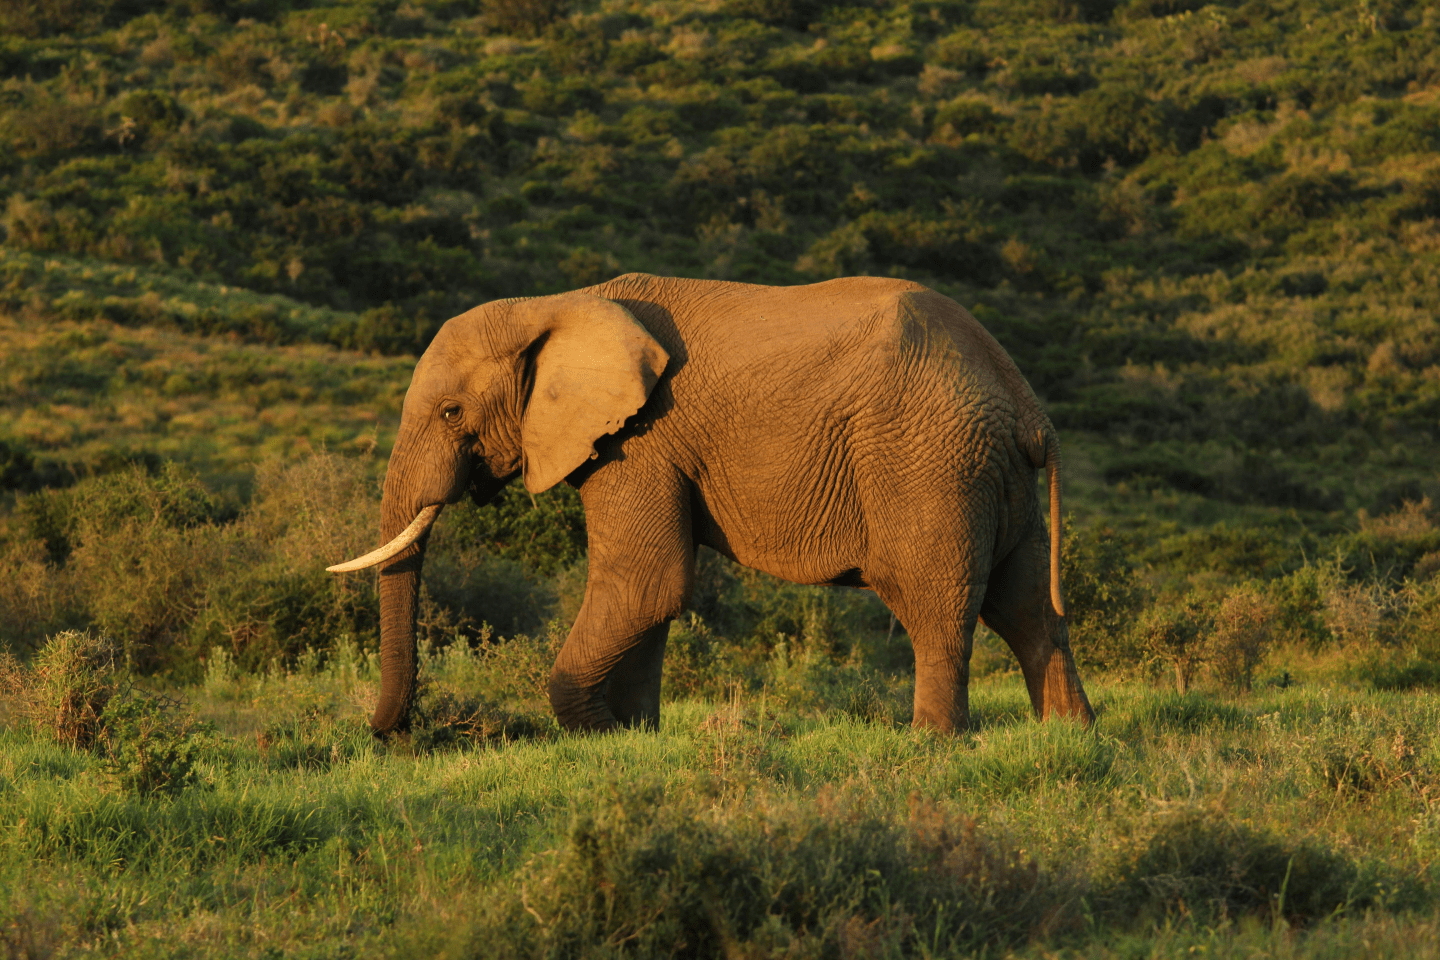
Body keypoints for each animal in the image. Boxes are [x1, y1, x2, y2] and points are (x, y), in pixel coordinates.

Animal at [328, 273, 1095, 735]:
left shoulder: (639, 441)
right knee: (1027, 607)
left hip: (929, 463)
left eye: (452, 413)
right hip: (992, 474)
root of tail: (1026, 403)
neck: (557, 303)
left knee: (935, 604)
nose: (385, 733)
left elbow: (647, 582)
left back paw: (932, 742)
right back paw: (1068, 734)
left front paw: (595, 734)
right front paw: (637, 735)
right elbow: (653, 597)